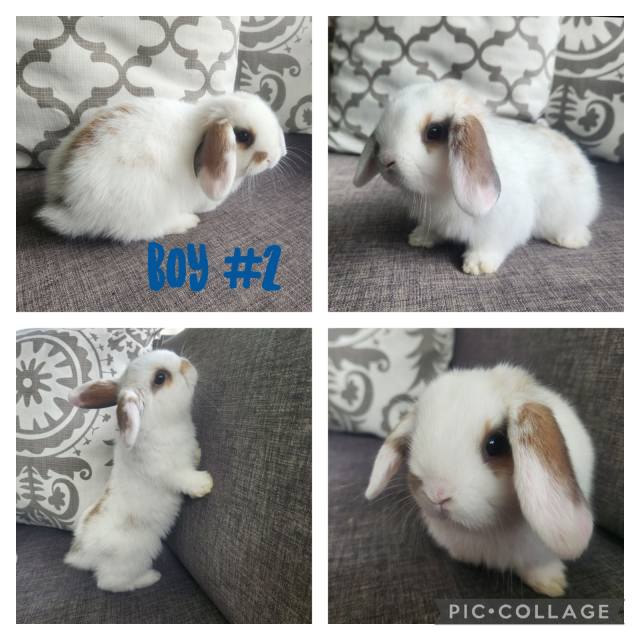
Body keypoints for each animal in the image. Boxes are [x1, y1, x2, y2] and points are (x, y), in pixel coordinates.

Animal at [63, 349, 213, 592]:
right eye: (160, 378)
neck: (159, 422)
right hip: (134, 557)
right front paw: (205, 484)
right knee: (109, 583)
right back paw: (150, 578)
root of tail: (82, 553)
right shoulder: (171, 471)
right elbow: (187, 478)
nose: (185, 363)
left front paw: (198, 454)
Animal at [353, 80, 600, 275]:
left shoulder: (502, 226)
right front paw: (419, 238)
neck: (441, 191)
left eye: (434, 131)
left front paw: (478, 266)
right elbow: (431, 230)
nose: (386, 160)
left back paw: (571, 240)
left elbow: (490, 245)